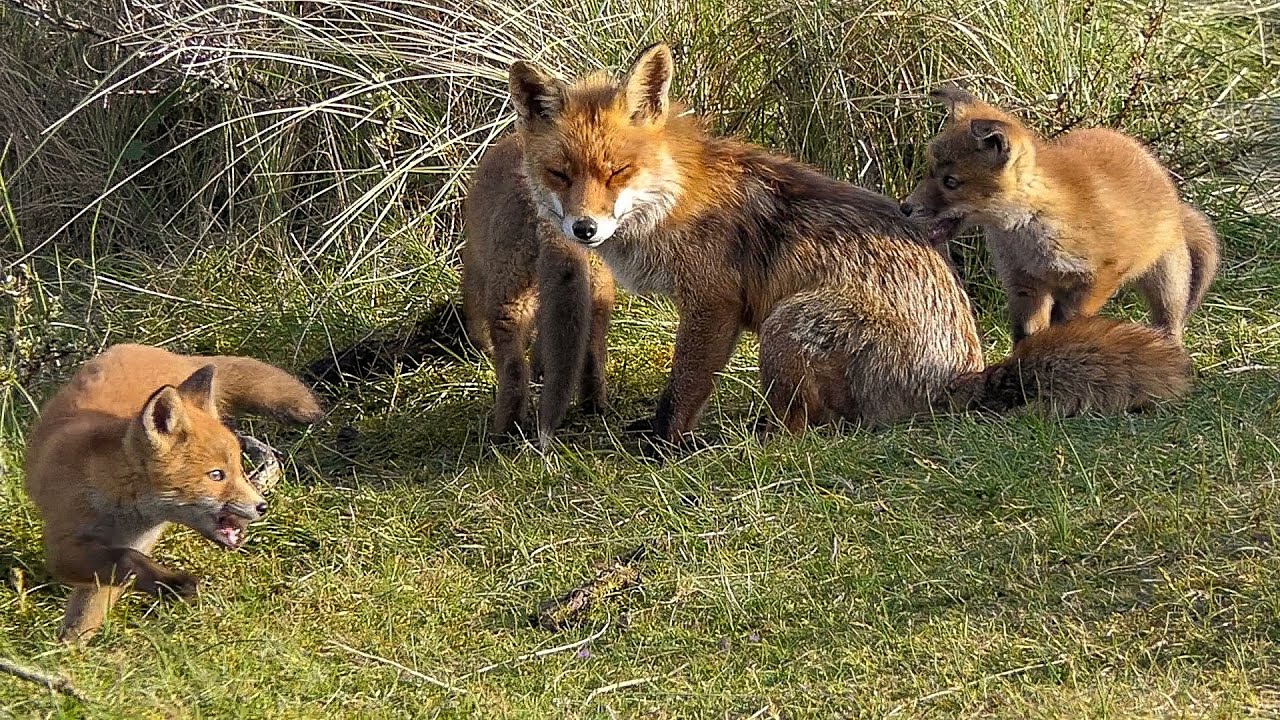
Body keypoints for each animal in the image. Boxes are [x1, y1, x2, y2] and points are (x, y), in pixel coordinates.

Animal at [24, 344, 324, 642]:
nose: (262, 506)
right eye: (217, 475)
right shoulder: (63, 547)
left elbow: (92, 606)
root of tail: (158, 351)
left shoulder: (129, 547)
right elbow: (126, 561)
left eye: (239, 469)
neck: (119, 501)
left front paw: (72, 647)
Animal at [462, 130, 616, 445]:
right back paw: (593, 408)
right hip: (597, 298)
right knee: (592, 356)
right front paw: (542, 371)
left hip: (508, 303)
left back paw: (504, 430)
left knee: (512, 370)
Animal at [900, 86, 1220, 345]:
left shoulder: (1101, 277)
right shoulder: (1024, 284)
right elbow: (1026, 336)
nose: (905, 207)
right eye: (929, 171)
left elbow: (1069, 324)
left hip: (1166, 285)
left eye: (950, 182)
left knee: (1169, 325)